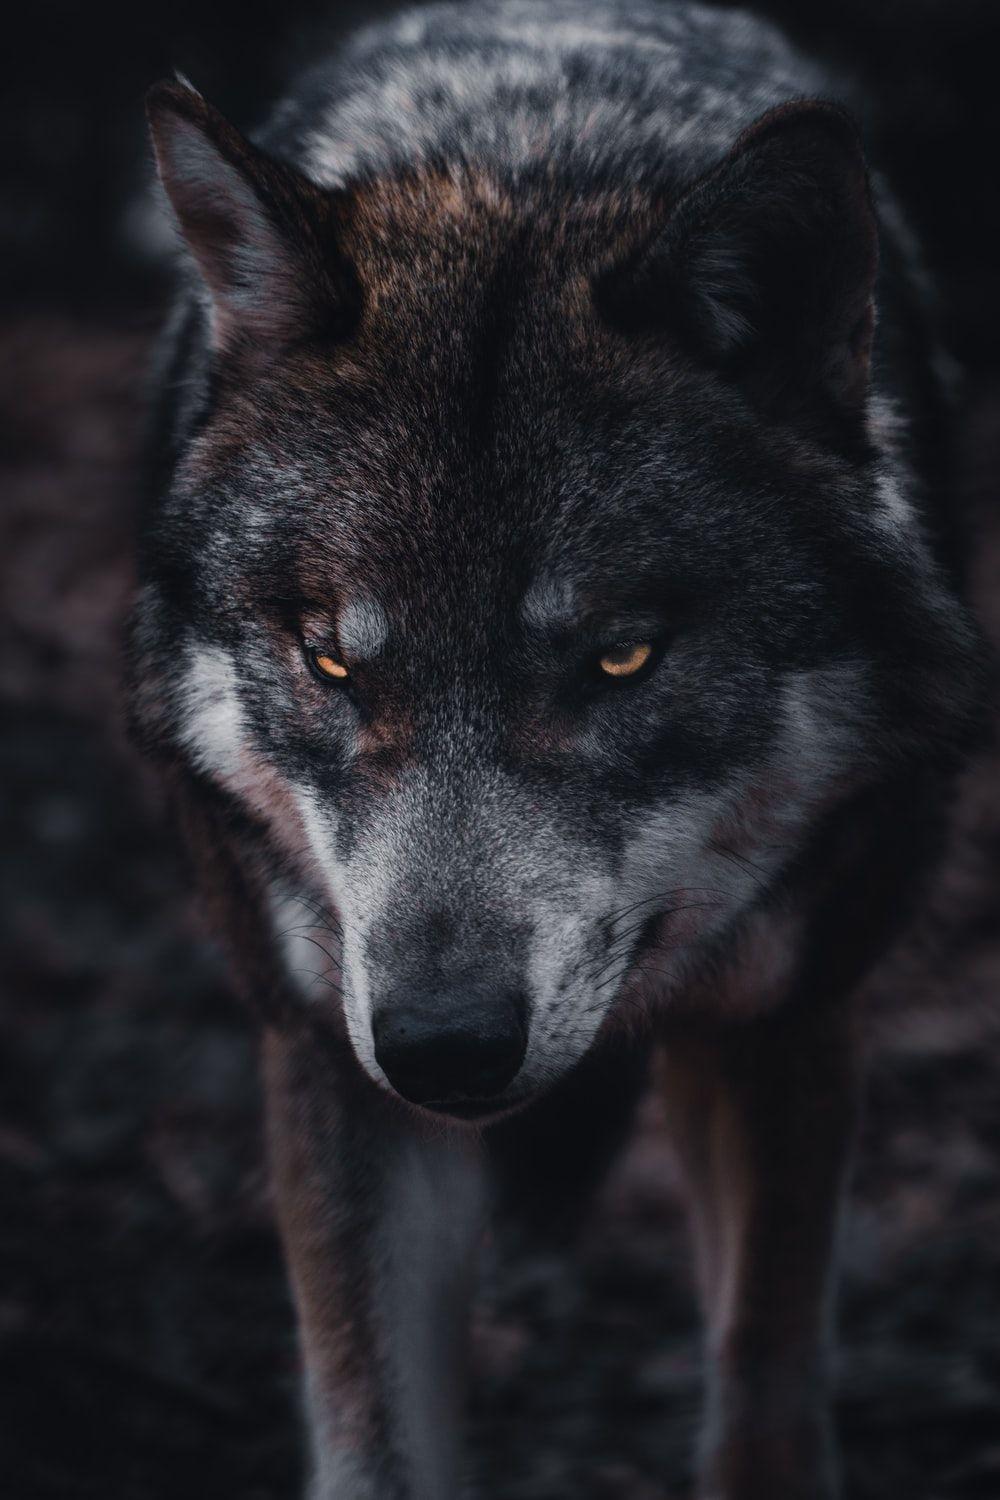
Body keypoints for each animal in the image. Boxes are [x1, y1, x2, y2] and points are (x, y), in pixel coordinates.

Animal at [131, 1, 986, 1495]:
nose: (442, 1046)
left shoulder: (789, 1021)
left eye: (620, 658)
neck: (525, 159)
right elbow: (374, 1441)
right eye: (332, 661)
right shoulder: (329, 1056)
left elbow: (764, 1393)